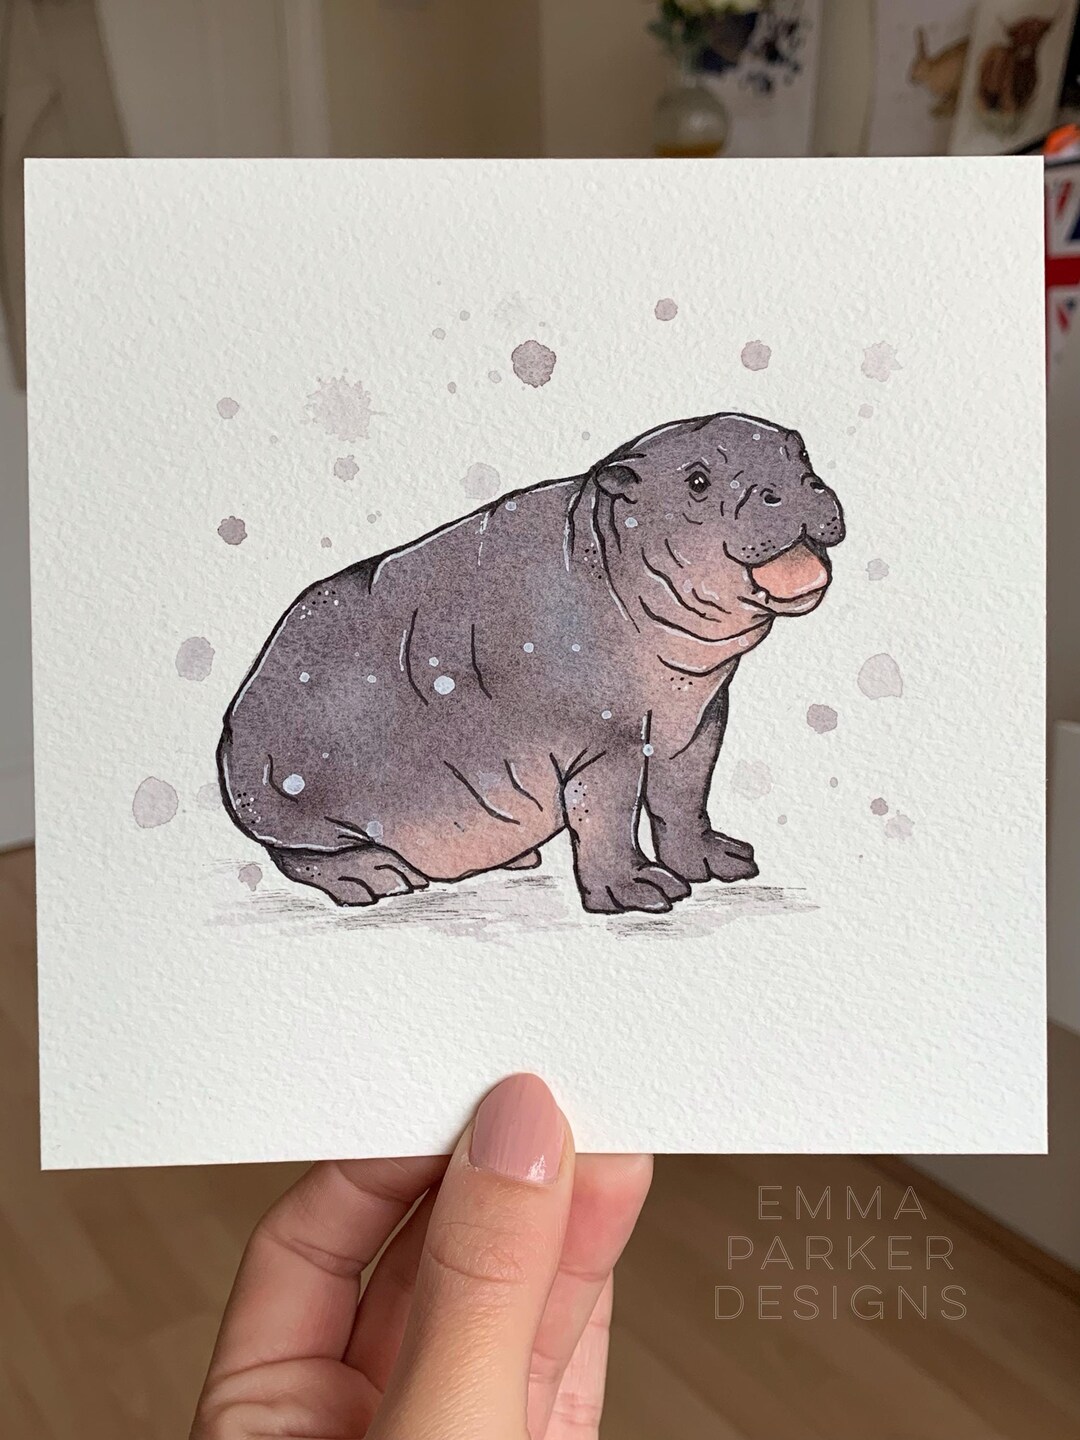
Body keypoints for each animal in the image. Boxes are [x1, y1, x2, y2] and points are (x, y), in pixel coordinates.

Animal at [217, 412, 844, 914]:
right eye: (696, 481)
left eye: (800, 454)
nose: (791, 487)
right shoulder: (605, 741)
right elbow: (607, 816)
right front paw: (639, 893)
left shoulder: (699, 719)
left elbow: (684, 798)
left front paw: (723, 860)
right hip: (293, 806)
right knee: (298, 856)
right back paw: (377, 877)